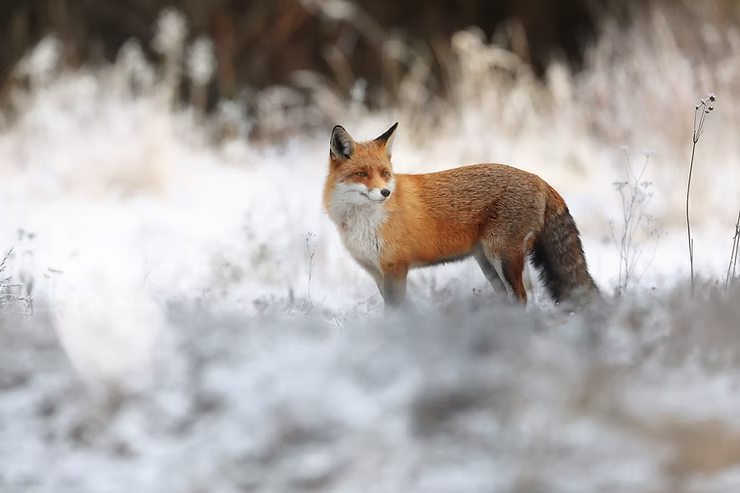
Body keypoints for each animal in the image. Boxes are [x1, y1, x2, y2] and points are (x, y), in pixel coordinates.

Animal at [322, 122, 600, 310]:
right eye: (361, 174)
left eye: (384, 173)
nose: (385, 192)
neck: (361, 222)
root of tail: (539, 179)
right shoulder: (377, 272)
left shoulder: (396, 267)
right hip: (488, 263)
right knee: (510, 298)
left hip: (503, 258)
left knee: (521, 297)